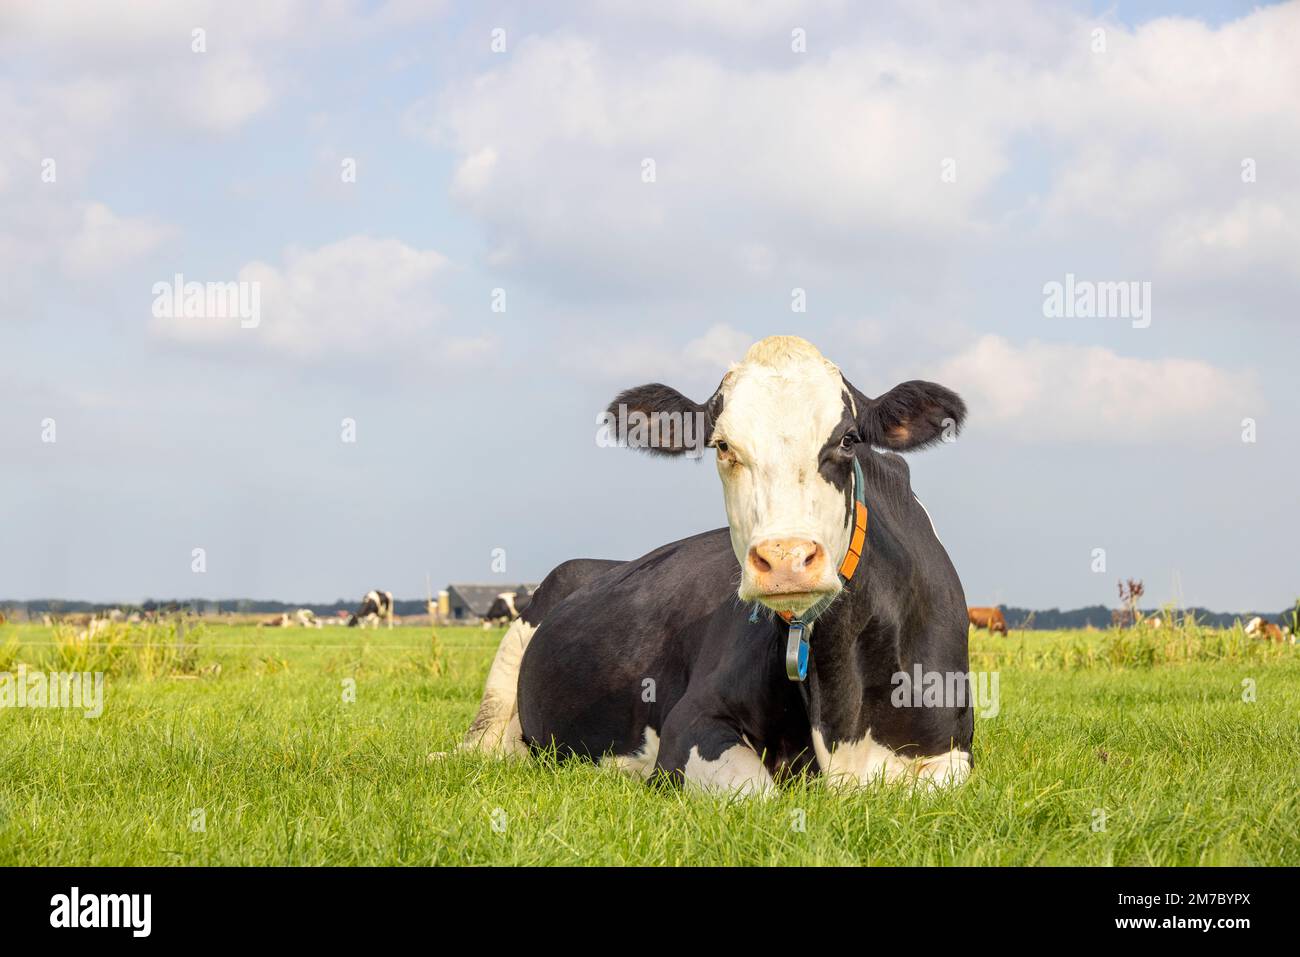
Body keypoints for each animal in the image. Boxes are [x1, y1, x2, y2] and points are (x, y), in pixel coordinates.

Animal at [460, 335, 972, 794]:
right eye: (723, 446)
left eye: (848, 440)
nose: (785, 558)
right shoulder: (690, 723)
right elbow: (757, 792)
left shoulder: (954, 750)